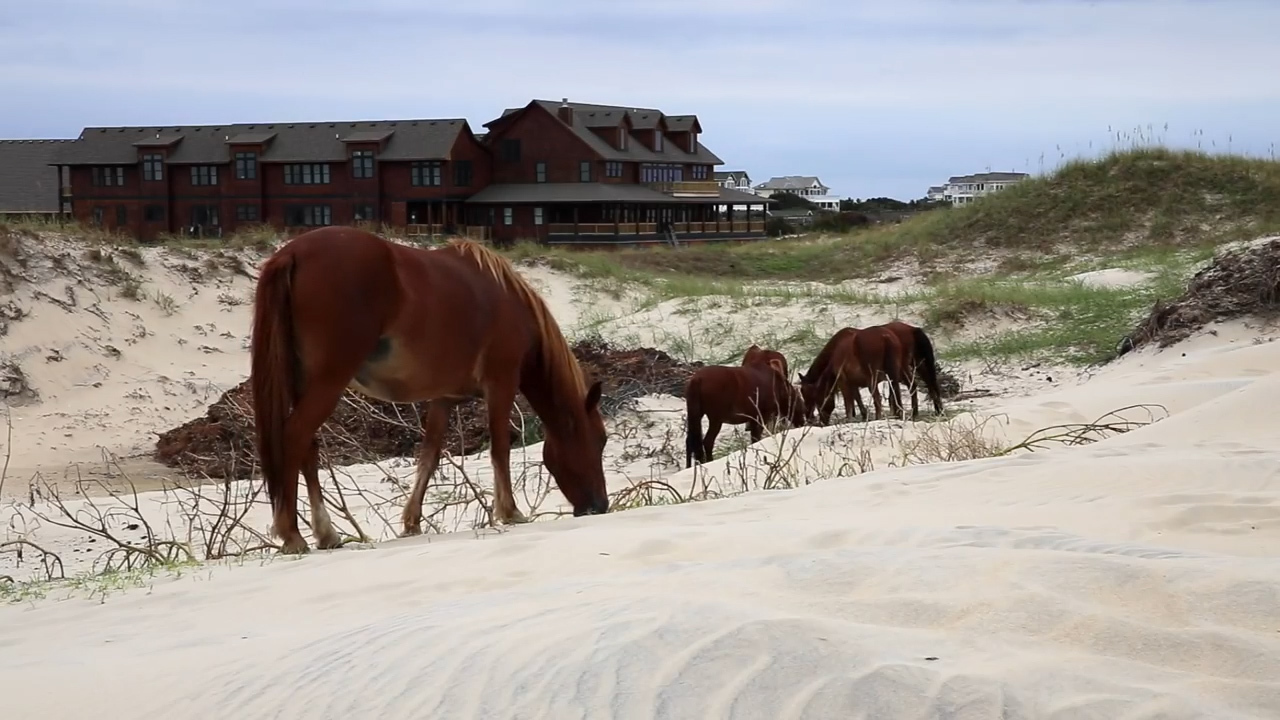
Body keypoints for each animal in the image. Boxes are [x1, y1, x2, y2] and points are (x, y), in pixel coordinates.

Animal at [249, 226, 610, 554]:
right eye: (600, 441)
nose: (600, 506)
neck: (510, 302)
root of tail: (291, 253)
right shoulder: (502, 383)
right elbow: (500, 448)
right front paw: (510, 511)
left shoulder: (443, 398)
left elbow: (429, 456)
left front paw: (412, 522)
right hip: (329, 381)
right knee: (295, 436)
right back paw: (293, 535)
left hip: (303, 383)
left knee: (307, 447)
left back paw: (326, 534)